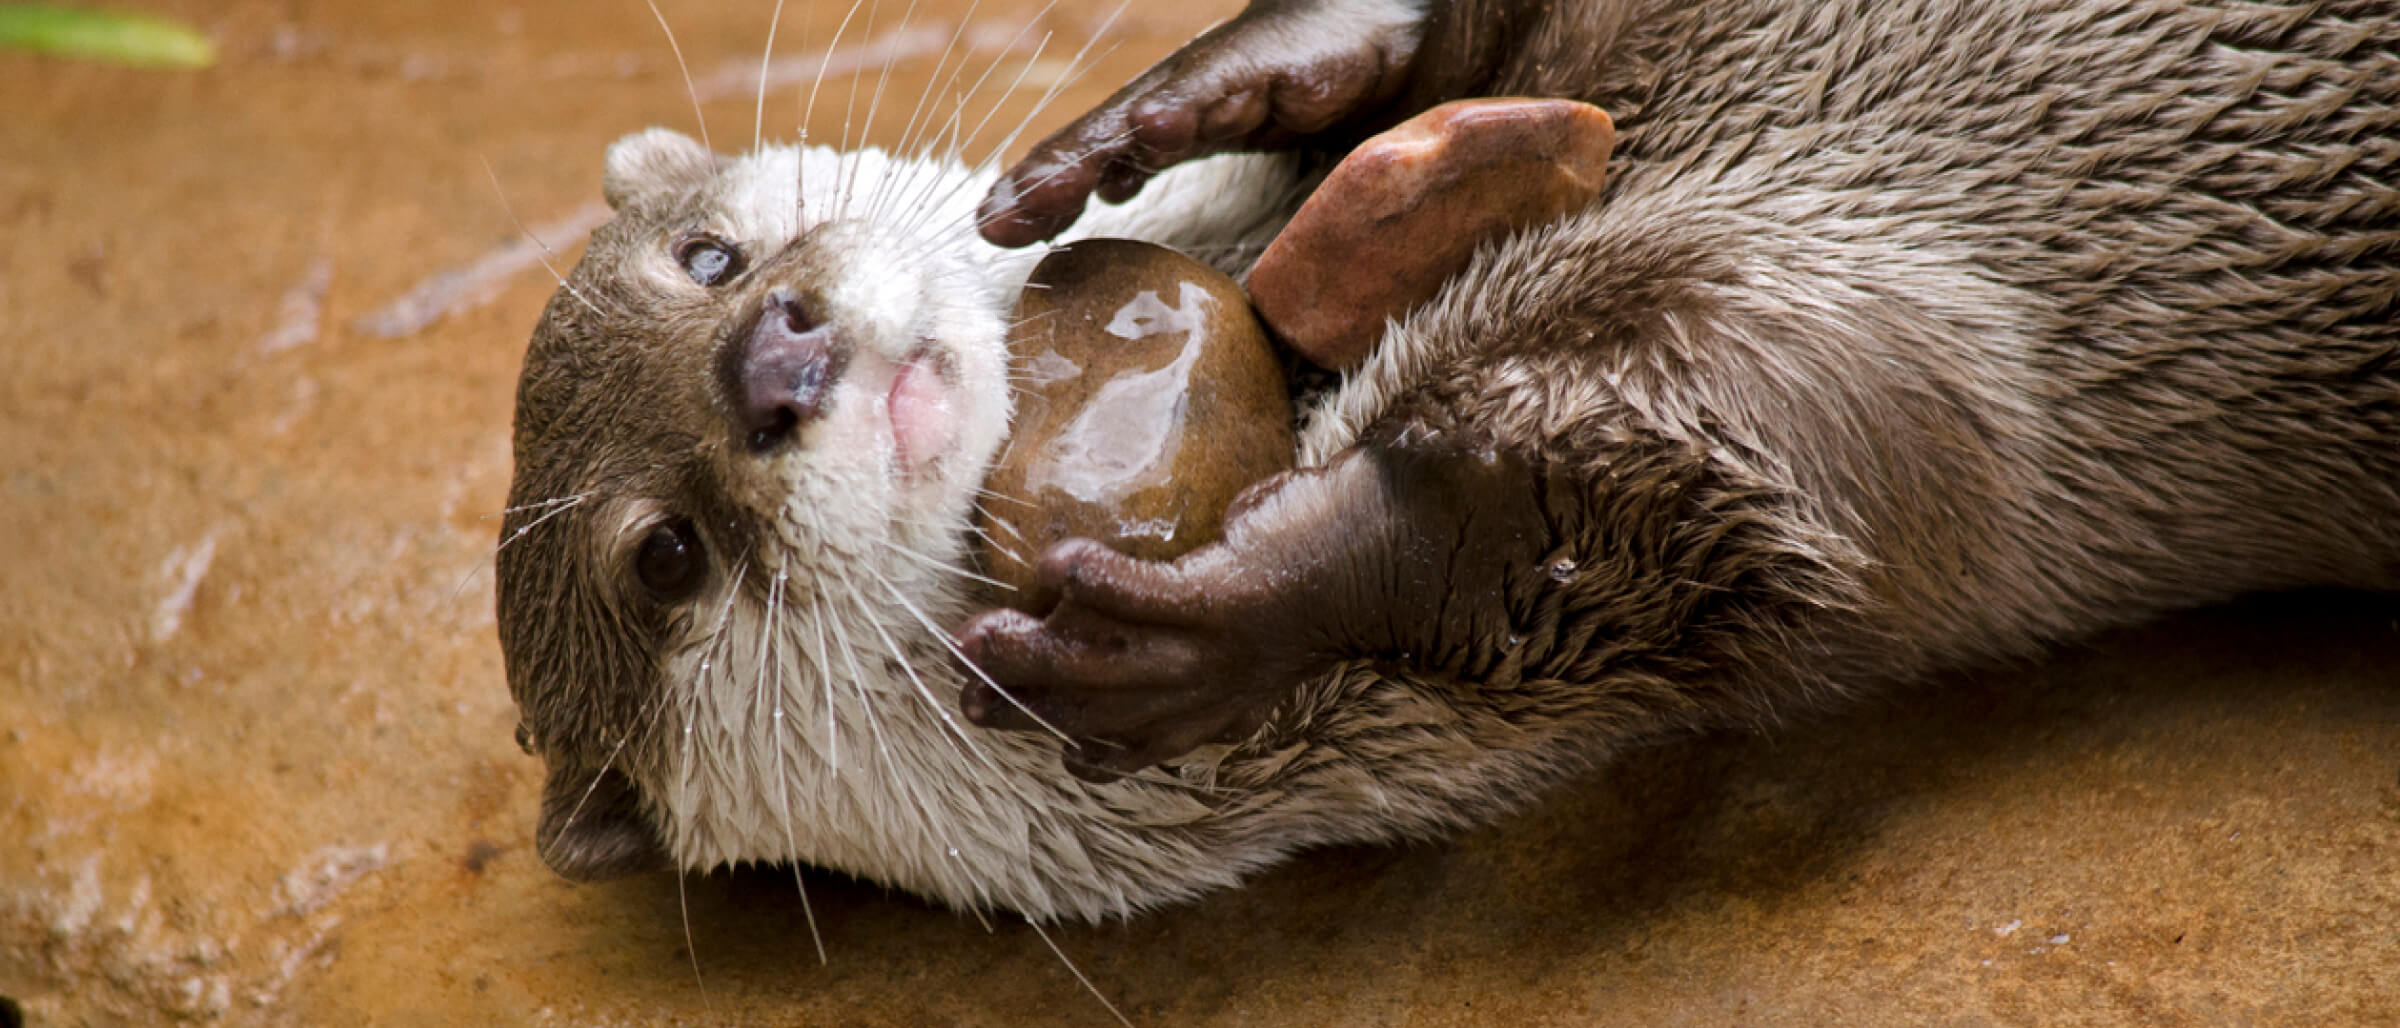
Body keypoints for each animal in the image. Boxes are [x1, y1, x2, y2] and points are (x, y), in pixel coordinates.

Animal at [498, 0, 2400, 923]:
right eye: (661, 556)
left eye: (710, 260)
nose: (775, 357)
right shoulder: (1832, 344)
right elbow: (1769, 465)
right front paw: (1232, 608)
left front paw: (1191, 98)